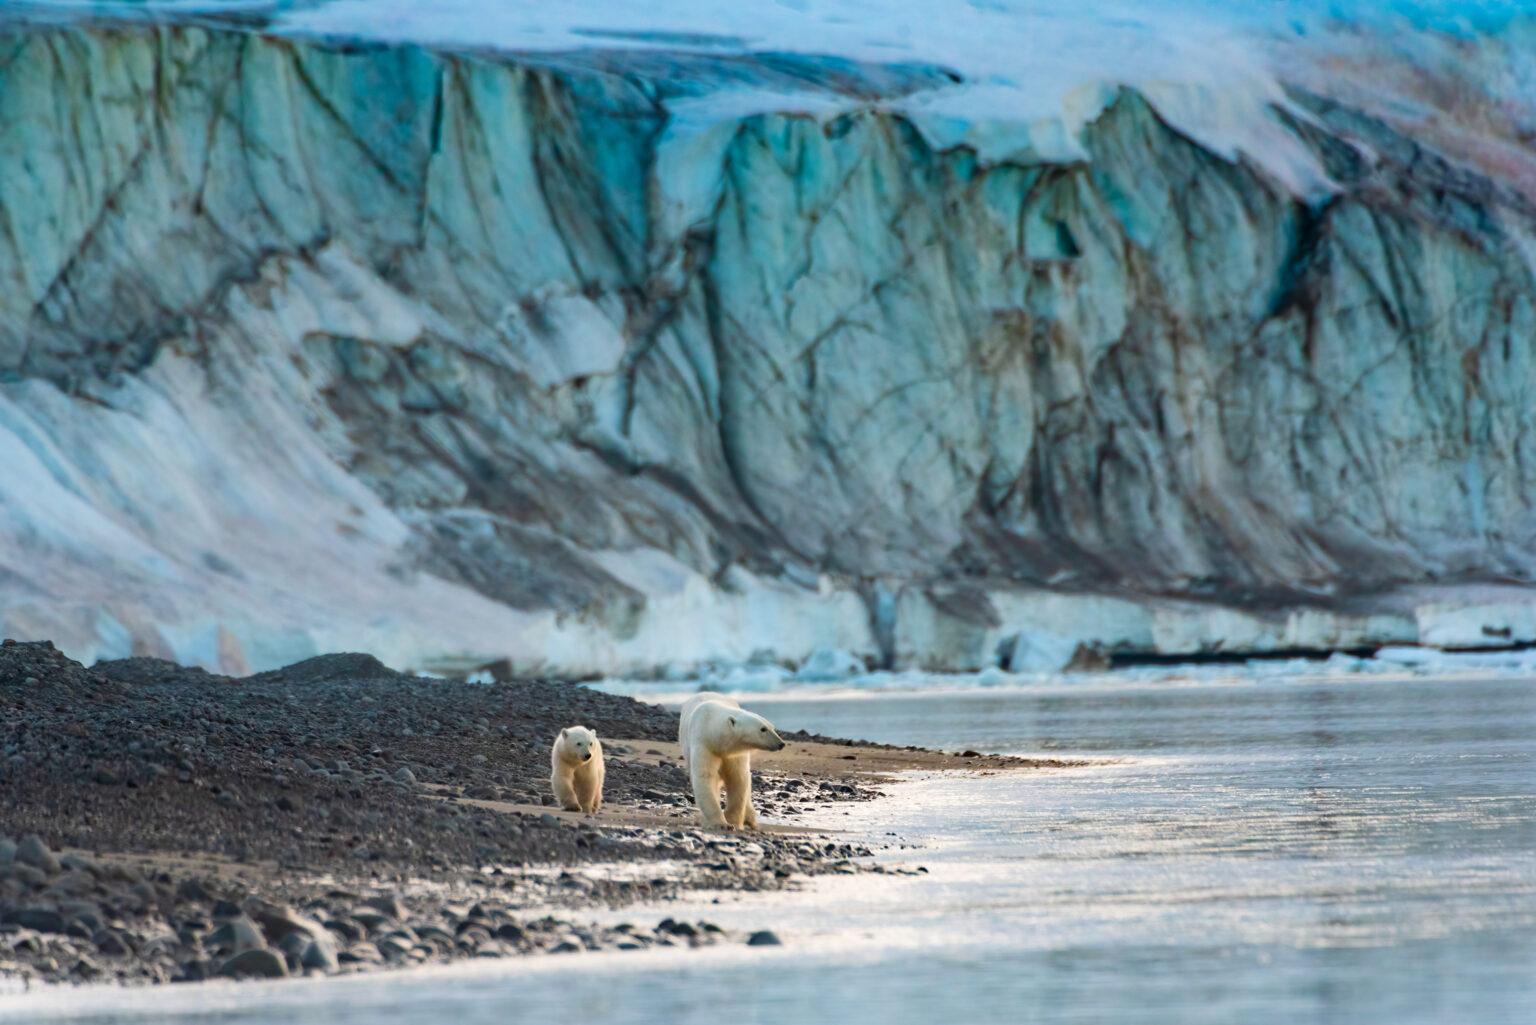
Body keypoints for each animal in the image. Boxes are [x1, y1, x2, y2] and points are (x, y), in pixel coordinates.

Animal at [678, 692, 785, 830]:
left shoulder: (735, 754)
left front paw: (733, 822)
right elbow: (705, 778)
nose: (781, 743)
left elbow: (738, 779)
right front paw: (721, 823)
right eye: (763, 729)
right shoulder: (703, 744)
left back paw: (750, 819)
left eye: (772, 727)